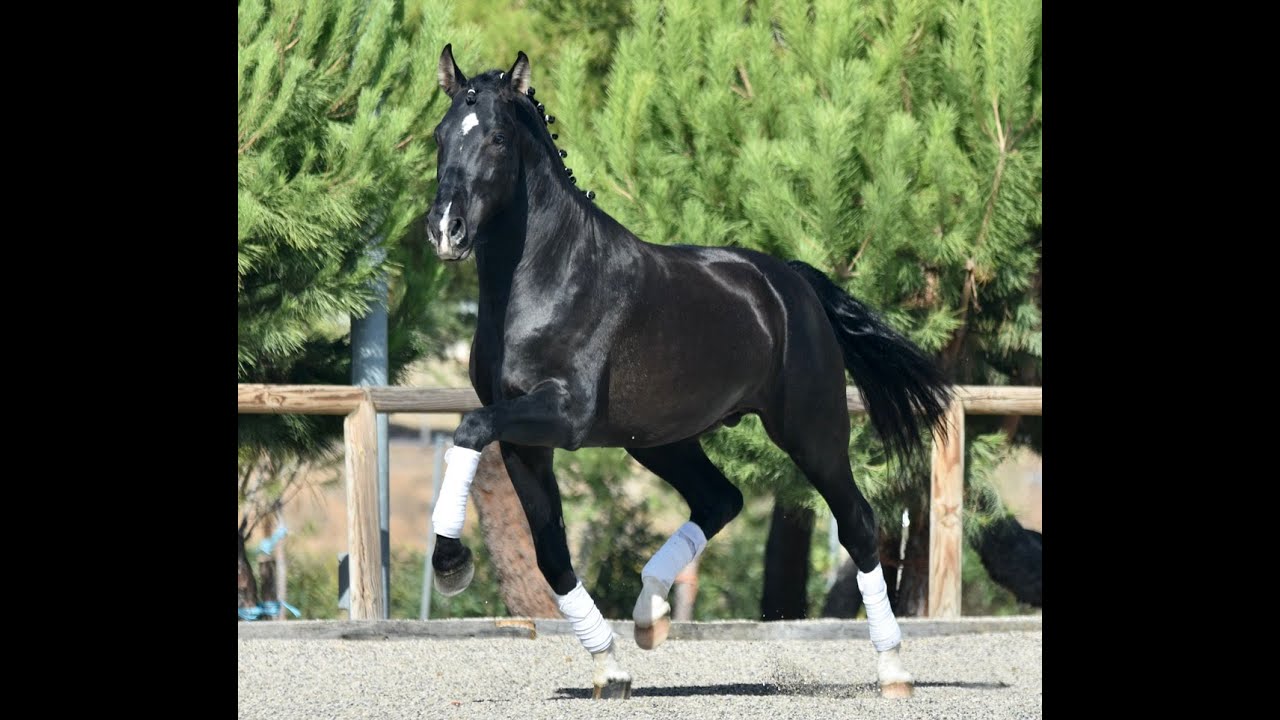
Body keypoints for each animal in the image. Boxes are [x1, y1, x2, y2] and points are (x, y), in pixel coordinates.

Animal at [423, 45, 952, 700]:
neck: (548, 277)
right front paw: (610, 667)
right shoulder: (524, 438)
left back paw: (893, 669)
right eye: (441, 134)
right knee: (721, 499)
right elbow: (551, 552)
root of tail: (793, 281)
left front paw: (450, 564)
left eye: (496, 137)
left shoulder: (564, 417)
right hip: (659, 439)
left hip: (812, 431)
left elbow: (470, 427)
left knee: (856, 522)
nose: (445, 230)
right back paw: (651, 615)